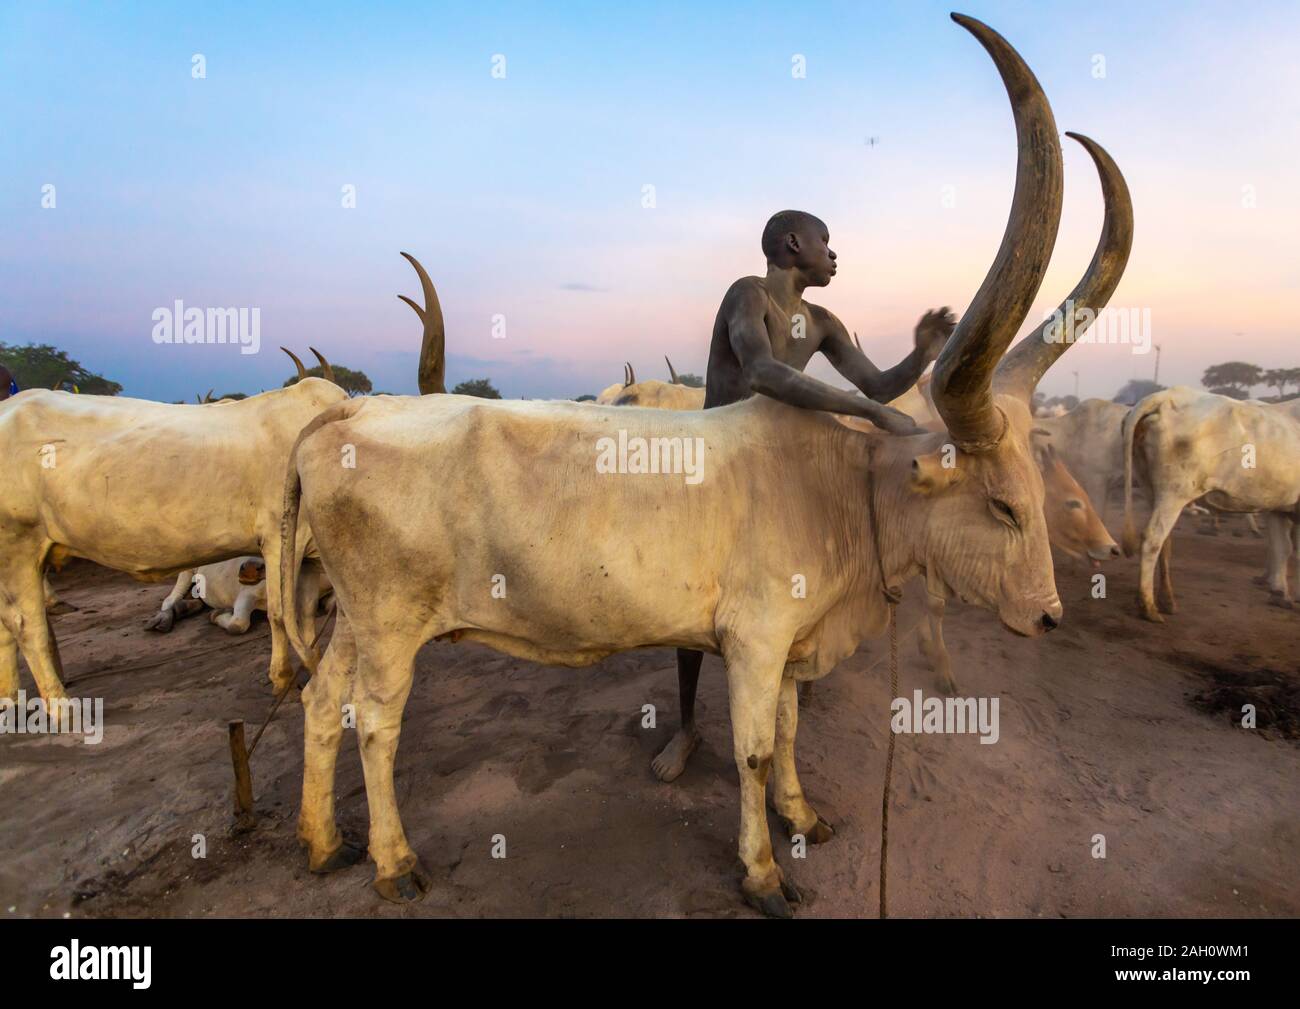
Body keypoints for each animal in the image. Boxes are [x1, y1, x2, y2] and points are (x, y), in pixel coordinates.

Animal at [278, 14, 1133, 916]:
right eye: (1002, 505)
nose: (1049, 615)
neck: (845, 489)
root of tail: (351, 410)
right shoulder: (755, 641)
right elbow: (754, 749)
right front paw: (763, 870)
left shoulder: (793, 639)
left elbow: (790, 730)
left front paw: (804, 815)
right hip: (390, 626)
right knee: (376, 722)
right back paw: (393, 860)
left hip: (358, 620)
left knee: (321, 700)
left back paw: (323, 842)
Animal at [1121, 386, 1300, 620]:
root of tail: (1164, 397)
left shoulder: (1278, 507)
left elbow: (1281, 548)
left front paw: (1279, 593)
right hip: (1175, 493)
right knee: (1153, 538)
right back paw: (1148, 606)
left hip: (1150, 487)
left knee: (1165, 542)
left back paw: (1166, 600)